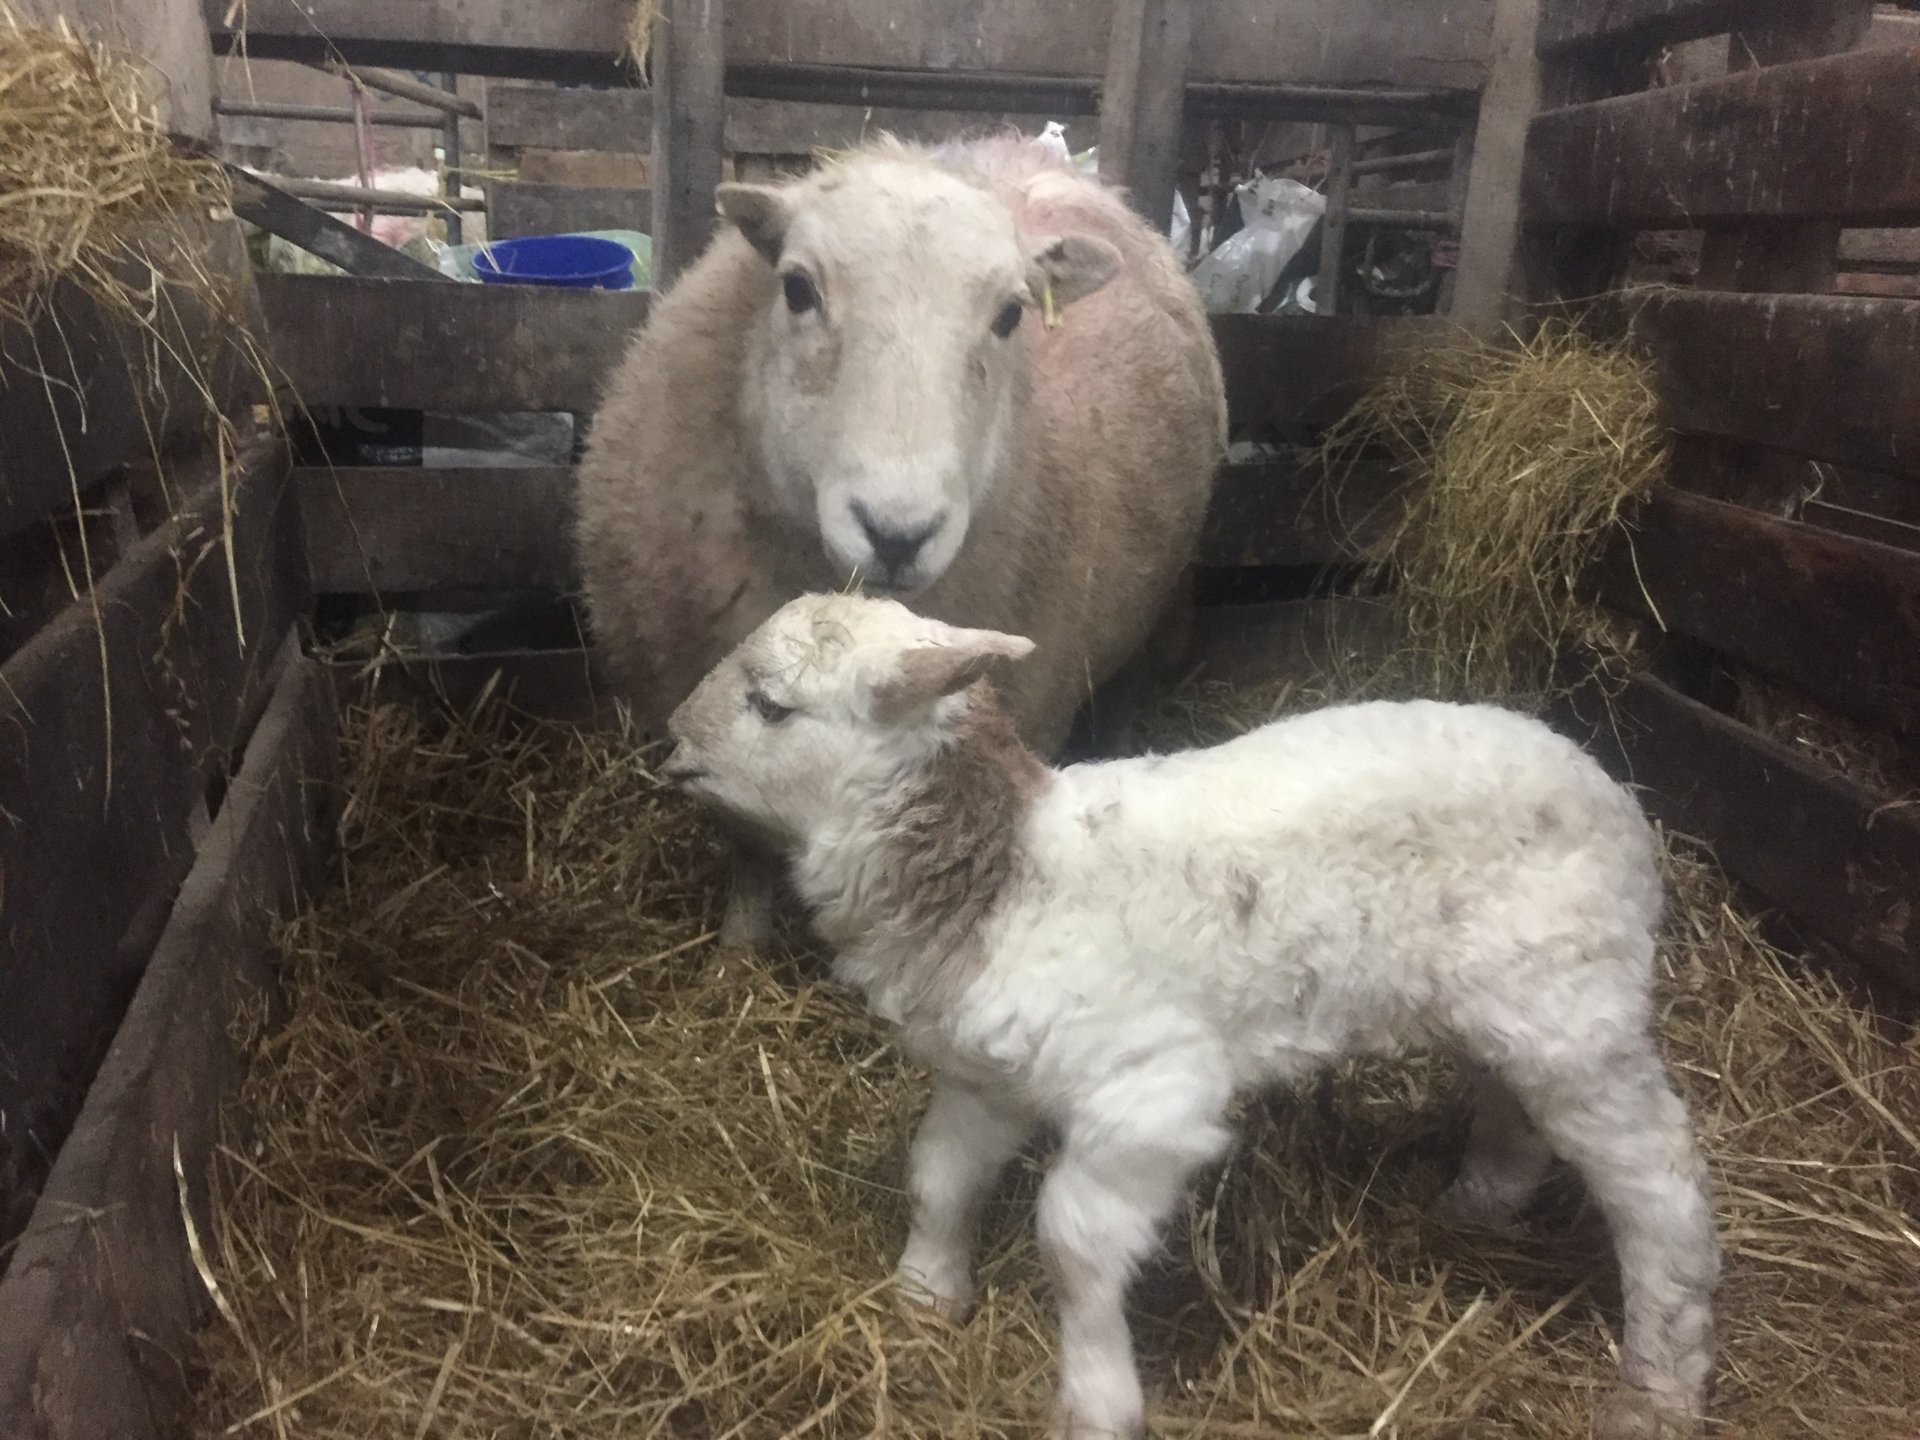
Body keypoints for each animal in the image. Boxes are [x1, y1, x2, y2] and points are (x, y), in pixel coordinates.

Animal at [574, 135, 1227, 953]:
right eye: (797, 288)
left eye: (1011, 313)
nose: (897, 534)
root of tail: (1023, 147)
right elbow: (746, 842)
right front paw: (737, 949)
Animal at [660, 592, 1721, 1440]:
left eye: (772, 705)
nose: (668, 742)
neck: (1007, 879)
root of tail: (1623, 805)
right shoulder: (988, 1074)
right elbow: (939, 1178)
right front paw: (926, 1296)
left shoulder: (1154, 1093)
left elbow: (1073, 1236)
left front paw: (1096, 1401)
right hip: (1505, 1005)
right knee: (1514, 1107)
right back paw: (1479, 1201)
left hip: (1577, 1006)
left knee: (1660, 1187)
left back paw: (1659, 1386)